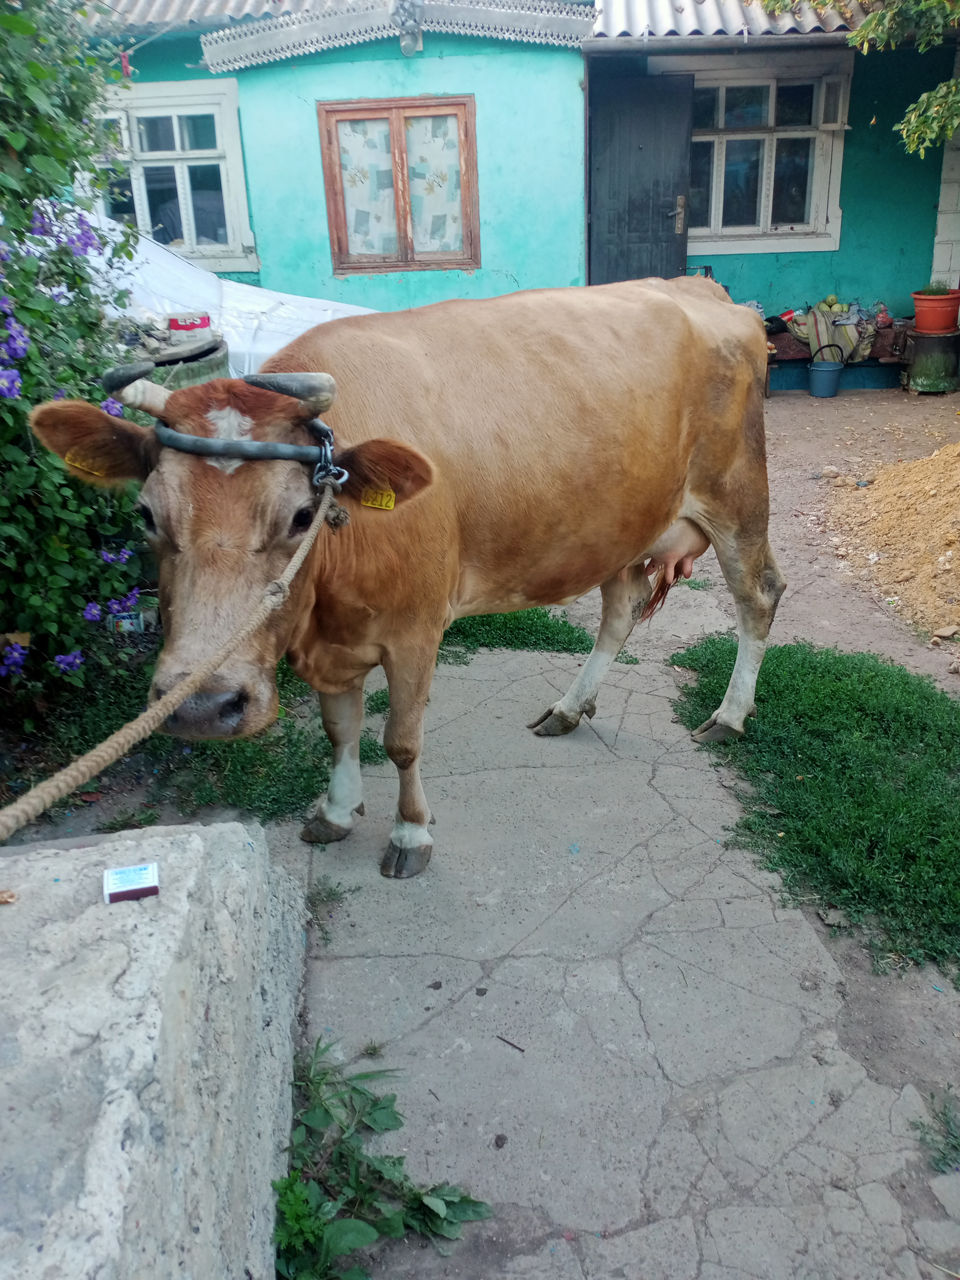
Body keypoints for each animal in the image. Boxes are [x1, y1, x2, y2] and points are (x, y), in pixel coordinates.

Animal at [30, 276, 785, 879]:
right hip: (624, 522)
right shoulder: (330, 642)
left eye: (301, 514)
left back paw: (729, 715)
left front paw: (410, 833)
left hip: (738, 494)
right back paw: (571, 708)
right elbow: (339, 731)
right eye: (146, 514)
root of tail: (703, 289)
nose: (201, 706)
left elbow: (399, 740)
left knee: (758, 596)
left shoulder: (417, 630)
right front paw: (337, 811)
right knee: (621, 608)